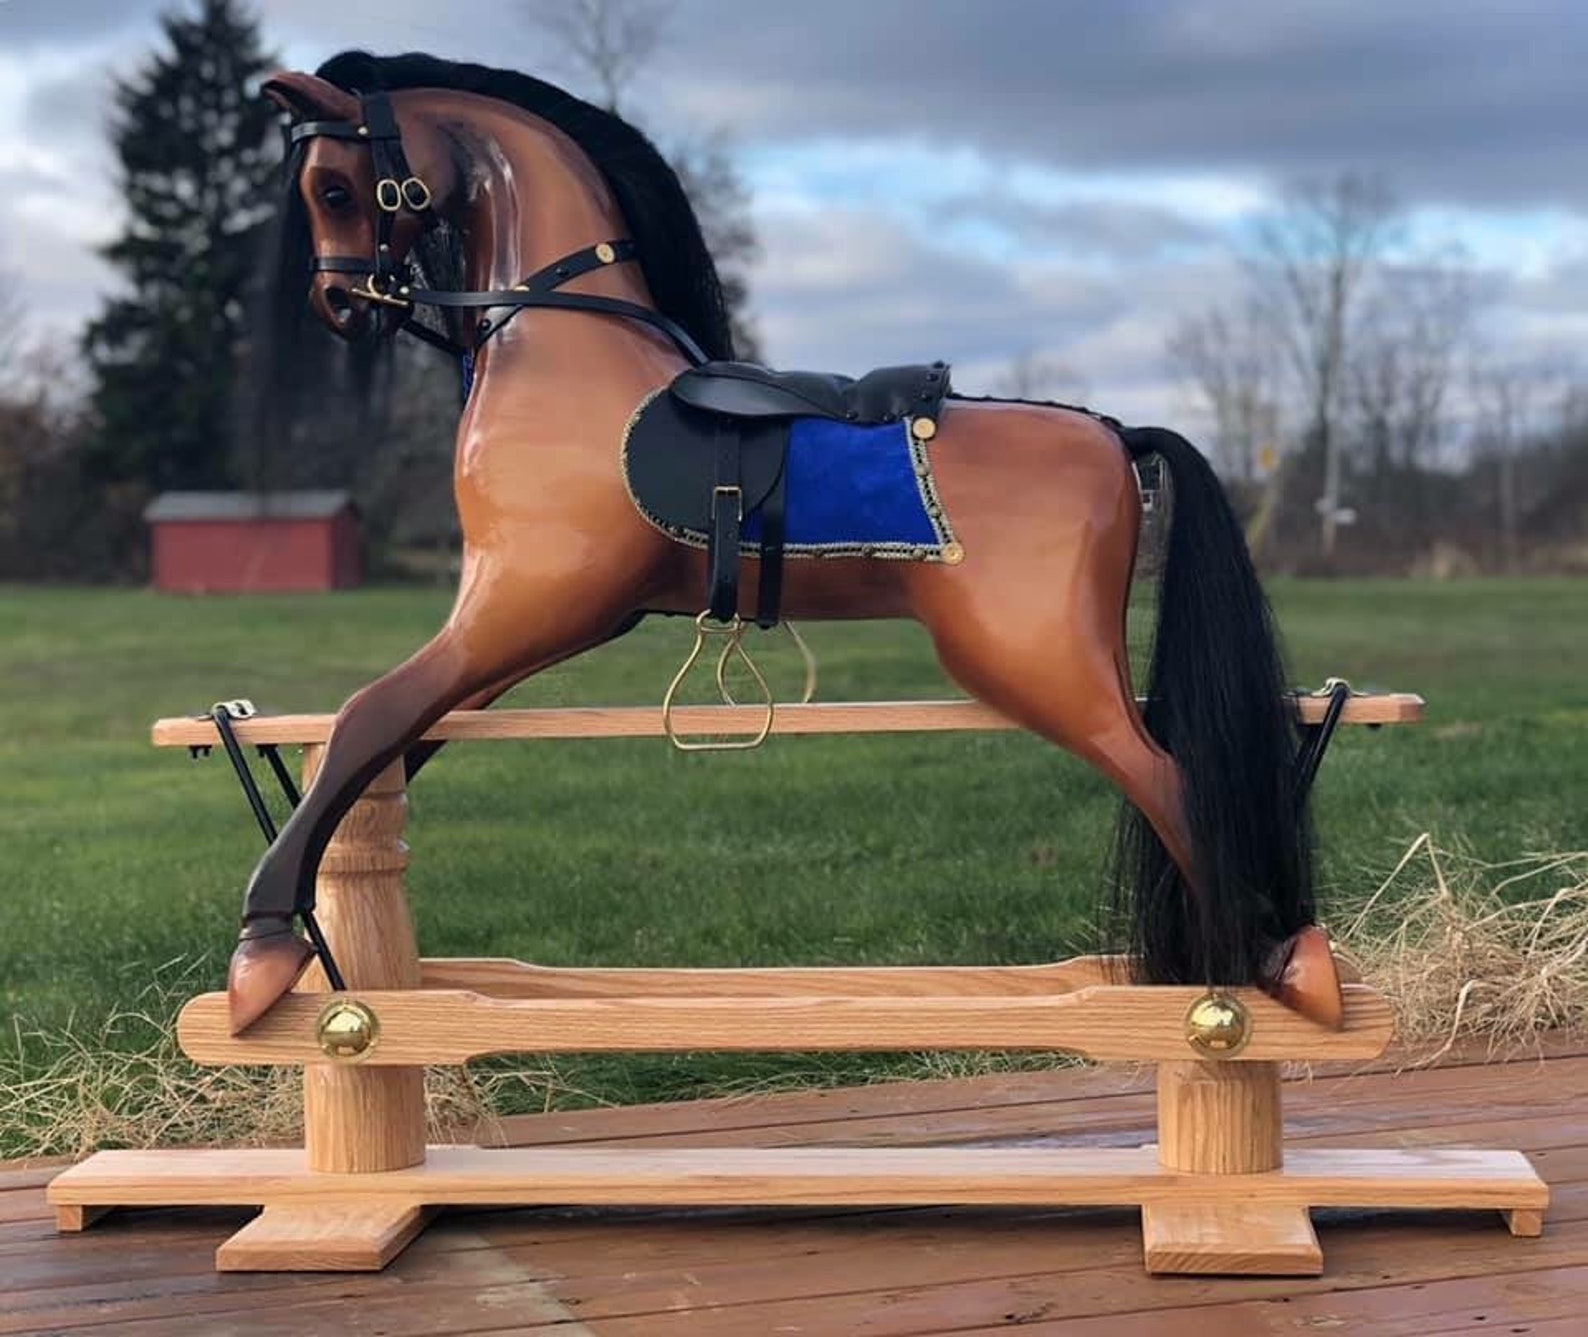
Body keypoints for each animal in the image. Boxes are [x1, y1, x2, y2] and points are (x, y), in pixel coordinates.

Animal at [228, 49, 1340, 1036]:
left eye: (334, 186)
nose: (339, 303)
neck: (561, 340)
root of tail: (1116, 432)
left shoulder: (523, 598)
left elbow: (369, 715)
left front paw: (262, 944)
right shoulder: (534, 619)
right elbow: (404, 736)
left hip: (1036, 660)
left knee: (1179, 791)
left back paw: (1267, 971)